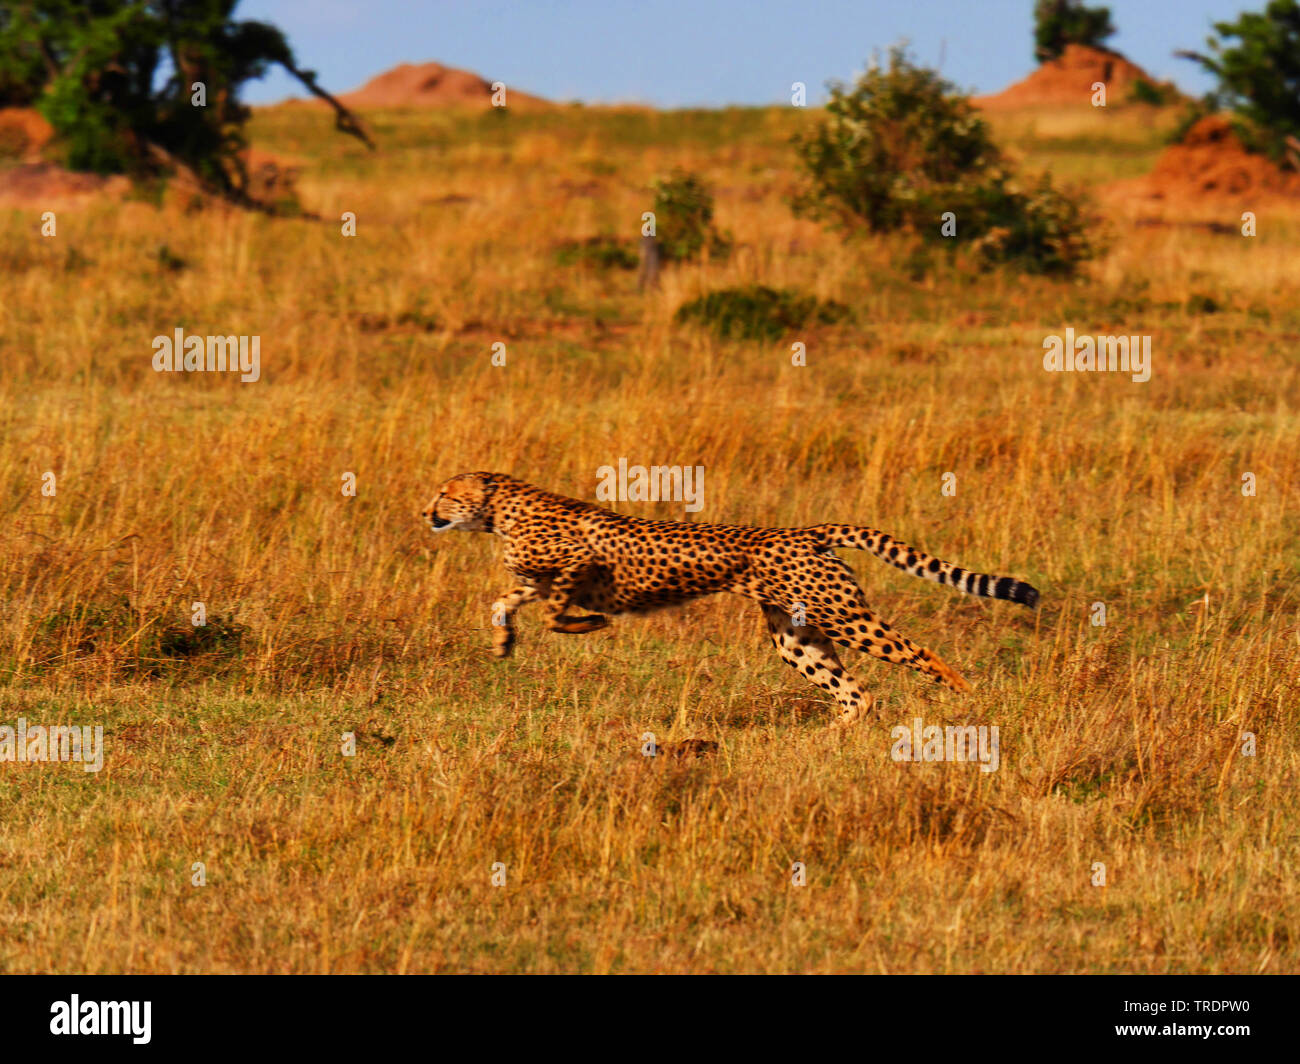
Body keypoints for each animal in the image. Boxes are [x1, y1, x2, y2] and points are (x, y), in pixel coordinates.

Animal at [423, 472, 1039, 727]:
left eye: (445, 493)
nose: (426, 511)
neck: (501, 510)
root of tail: (803, 530)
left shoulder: (579, 563)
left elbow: (556, 611)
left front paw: (588, 624)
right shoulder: (534, 578)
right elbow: (507, 599)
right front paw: (503, 641)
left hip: (844, 616)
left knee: (917, 651)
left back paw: (967, 696)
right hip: (796, 637)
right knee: (855, 695)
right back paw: (824, 741)